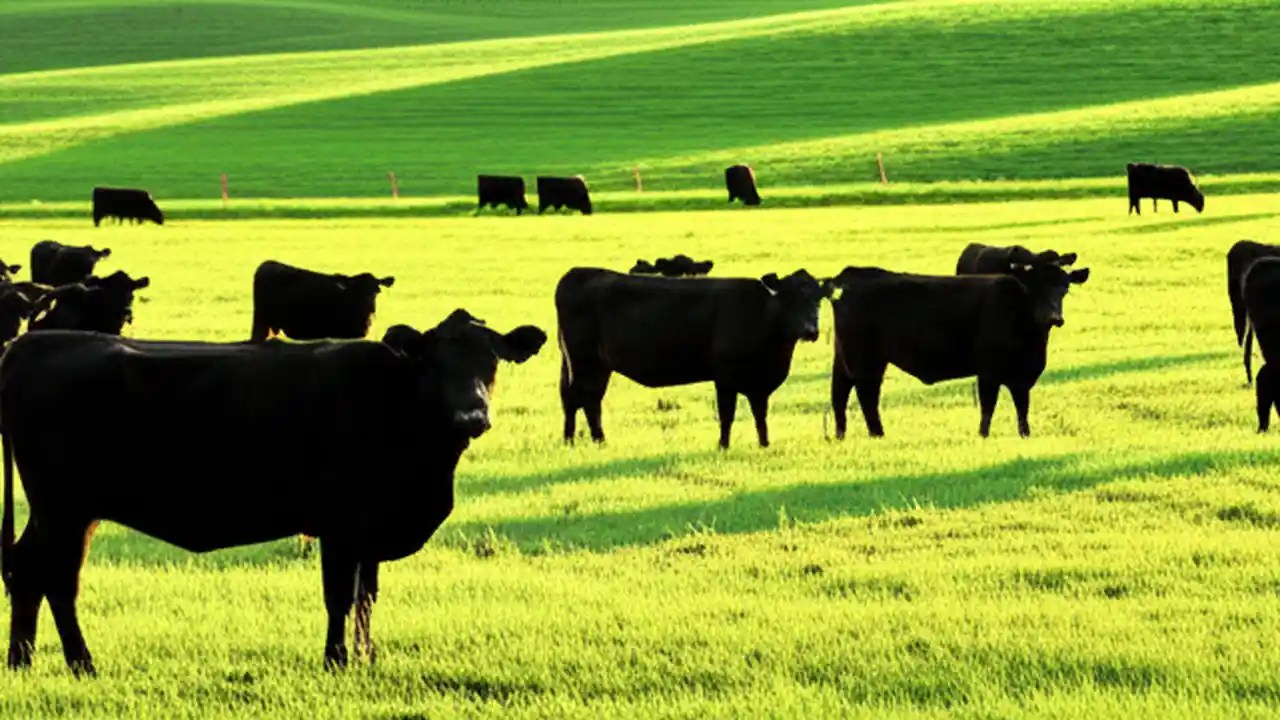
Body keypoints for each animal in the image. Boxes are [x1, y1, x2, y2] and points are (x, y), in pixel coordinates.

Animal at [0, 309, 547, 674]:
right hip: (64, 509)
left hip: (66, 511)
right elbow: (339, 597)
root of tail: (29, 346)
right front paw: (336, 661)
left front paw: (366, 657)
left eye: (492, 361)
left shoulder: (370, 527)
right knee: (56, 580)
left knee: (26, 571)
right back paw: (81, 664)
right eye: (435, 363)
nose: (473, 415)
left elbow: (367, 596)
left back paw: (22, 661)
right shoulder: (340, 525)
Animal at [555, 267, 823, 448]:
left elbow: (760, 413)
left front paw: (764, 444)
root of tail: (578, 272)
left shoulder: (758, 383)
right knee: (580, 397)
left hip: (593, 365)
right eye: (790, 299)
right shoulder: (725, 377)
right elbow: (727, 413)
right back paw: (582, 440)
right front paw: (723, 446)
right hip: (584, 362)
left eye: (818, 301)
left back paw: (586, 440)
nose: (811, 330)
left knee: (582, 399)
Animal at [825, 262, 1089, 439]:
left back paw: (841, 434)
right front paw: (983, 434)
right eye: (1034, 289)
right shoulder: (989, 371)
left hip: (845, 357)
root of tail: (852, 275)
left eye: (1064, 289)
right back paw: (877, 433)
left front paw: (1025, 433)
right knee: (866, 393)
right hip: (865, 359)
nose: (1055, 317)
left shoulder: (1020, 376)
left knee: (840, 391)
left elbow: (1021, 405)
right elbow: (988, 404)